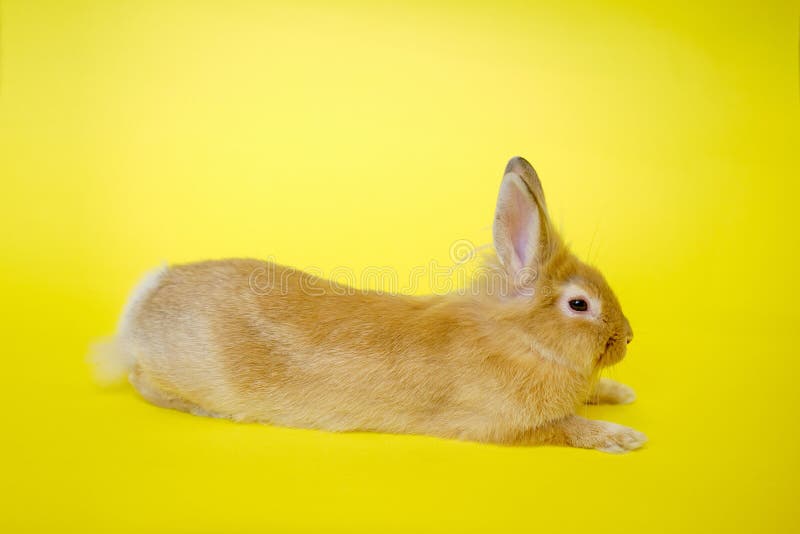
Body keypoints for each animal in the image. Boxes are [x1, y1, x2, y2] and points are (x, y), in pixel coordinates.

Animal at [91, 156, 645, 453]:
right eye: (579, 304)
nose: (628, 337)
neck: (521, 338)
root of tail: (146, 300)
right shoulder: (507, 425)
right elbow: (569, 427)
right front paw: (625, 437)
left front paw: (622, 393)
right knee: (140, 380)